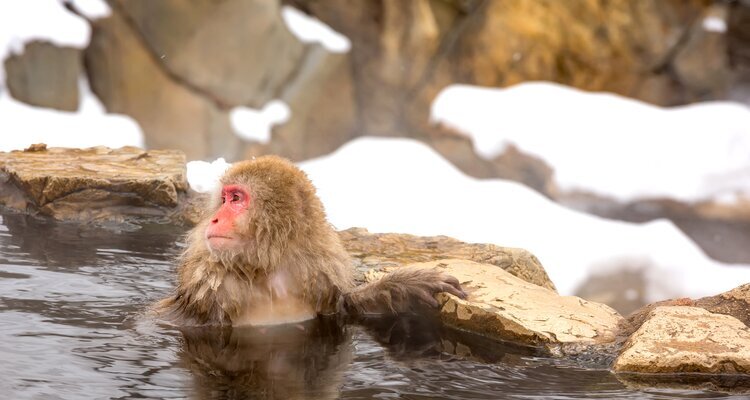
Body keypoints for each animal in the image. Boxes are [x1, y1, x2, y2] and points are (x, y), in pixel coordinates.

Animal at [153, 155, 465, 327]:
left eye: (236, 199)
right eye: (224, 198)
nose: (215, 218)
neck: (266, 270)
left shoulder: (320, 277)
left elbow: (346, 308)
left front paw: (408, 284)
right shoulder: (209, 294)